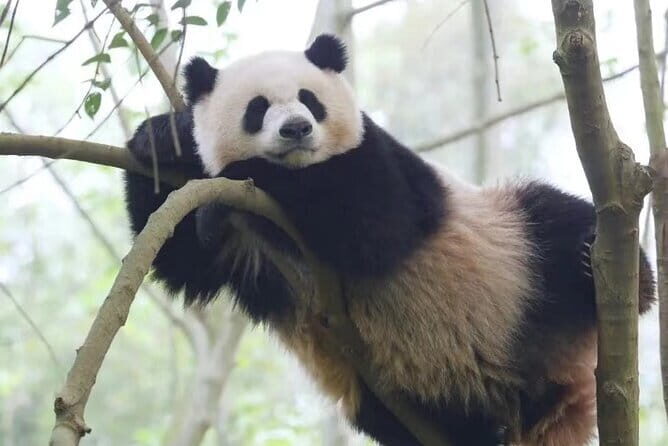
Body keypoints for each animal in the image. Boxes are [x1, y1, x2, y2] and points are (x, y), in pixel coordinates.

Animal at [124, 34, 656, 446]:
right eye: (257, 109)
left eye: (309, 99)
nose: (296, 129)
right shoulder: (248, 254)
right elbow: (180, 258)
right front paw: (160, 138)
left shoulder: (384, 162)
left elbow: (371, 220)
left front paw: (238, 178)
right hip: (389, 398)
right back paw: (484, 430)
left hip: (513, 255)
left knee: (552, 223)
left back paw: (605, 267)